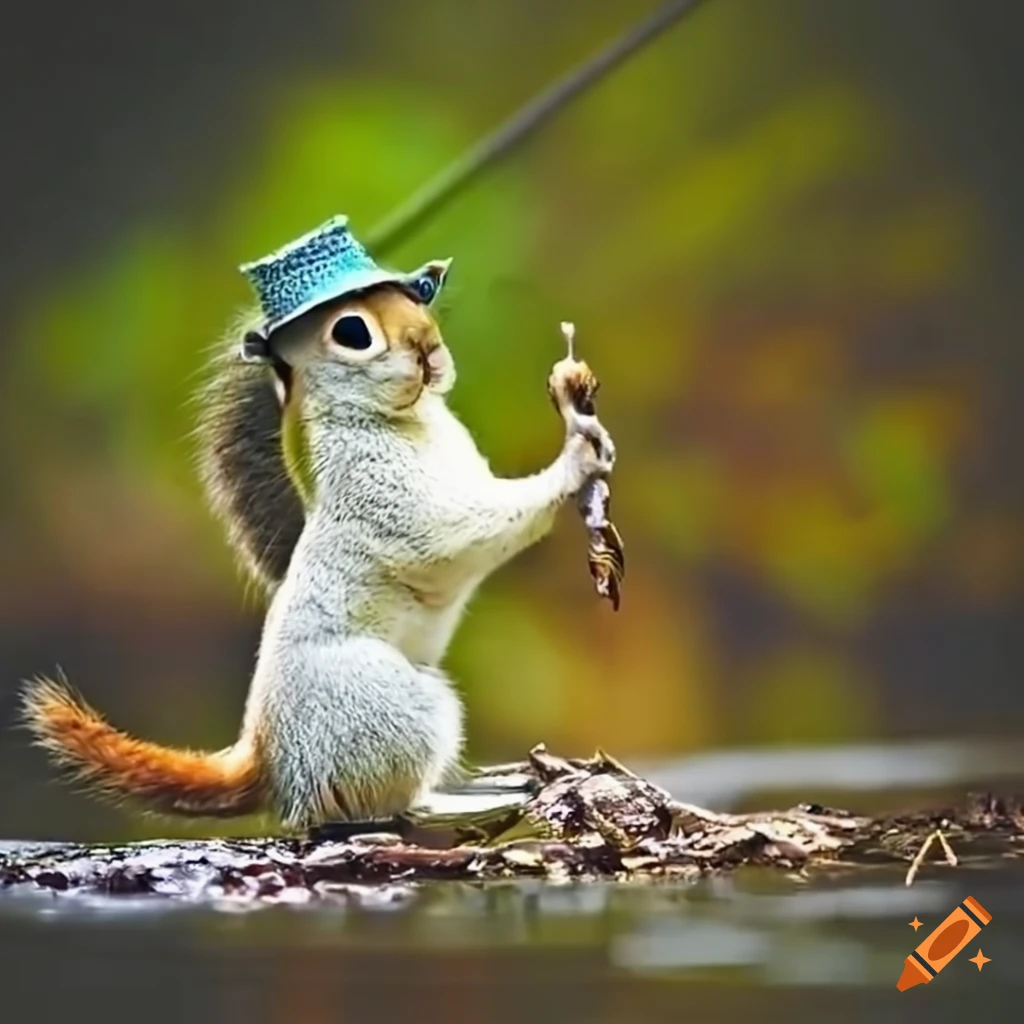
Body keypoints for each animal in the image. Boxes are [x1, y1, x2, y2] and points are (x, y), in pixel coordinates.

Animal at [21, 281, 616, 830]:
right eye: (353, 331)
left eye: (417, 301)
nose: (430, 347)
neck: (403, 419)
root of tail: (271, 766)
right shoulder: (386, 493)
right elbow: (460, 528)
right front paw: (575, 456)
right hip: (393, 705)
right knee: (389, 805)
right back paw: (467, 801)